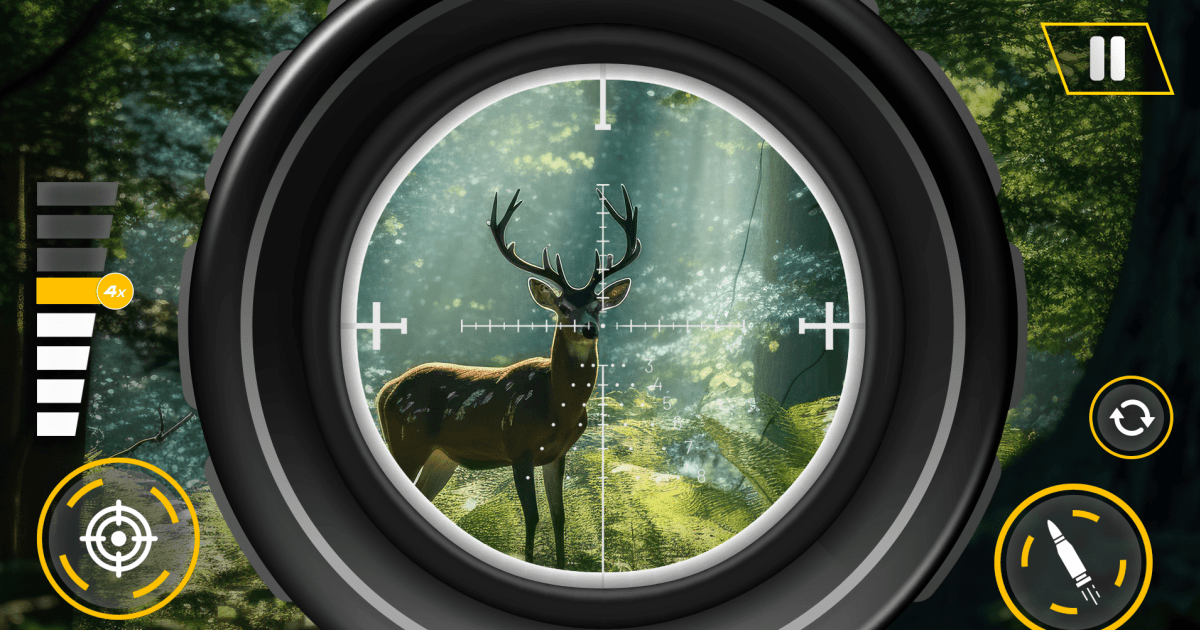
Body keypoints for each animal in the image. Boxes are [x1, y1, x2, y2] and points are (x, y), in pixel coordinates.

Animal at [375, 186, 642, 569]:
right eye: (563, 308)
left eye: (597, 306)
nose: (589, 329)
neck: (558, 407)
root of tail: (385, 391)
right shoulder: (518, 446)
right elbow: (531, 517)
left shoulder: (558, 454)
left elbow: (559, 517)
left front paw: (562, 567)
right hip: (406, 440)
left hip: (442, 455)